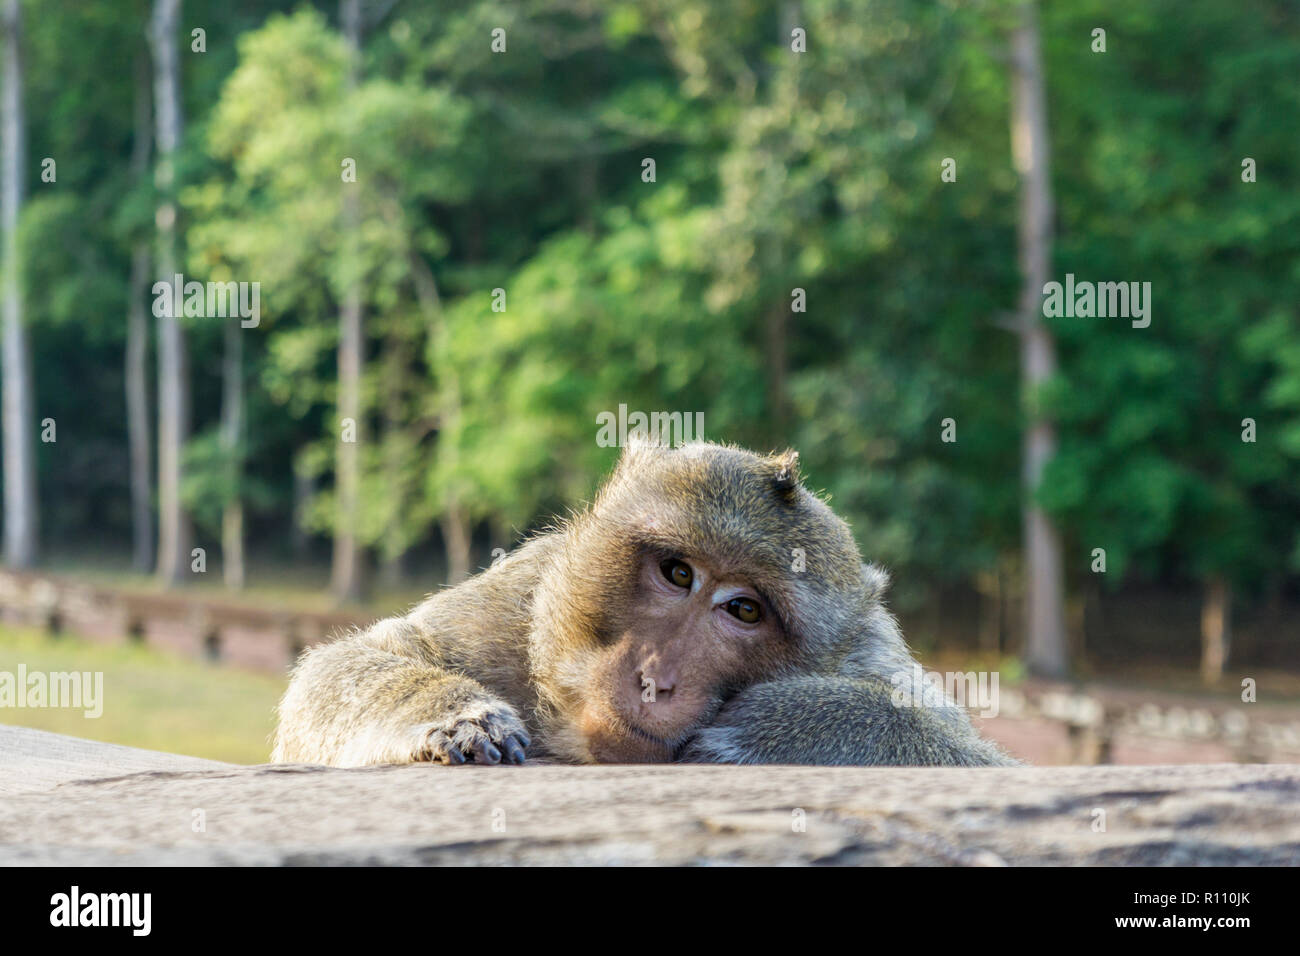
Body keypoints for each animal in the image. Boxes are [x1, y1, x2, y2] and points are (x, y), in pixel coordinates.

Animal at [272, 438, 1015, 768]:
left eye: (745, 610)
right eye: (677, 573)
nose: (657, 678)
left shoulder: (874, 656)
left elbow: (978, 758)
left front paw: (783, 726)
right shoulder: (528, 598)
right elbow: (385, 651)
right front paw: (456, 717)